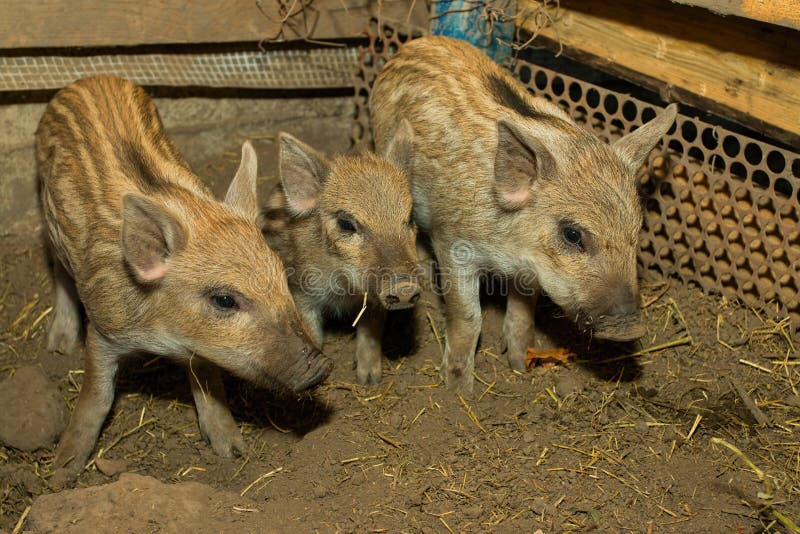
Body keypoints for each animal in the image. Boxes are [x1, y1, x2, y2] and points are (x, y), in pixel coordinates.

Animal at [36, 76, 332, 484]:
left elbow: (208, 381)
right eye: (224, 300)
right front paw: (61, 473)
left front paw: (232, 450)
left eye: (281, 276)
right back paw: (58, 345)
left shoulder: (199, 348)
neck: (161, 335)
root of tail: (88, 81)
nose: (321, 365)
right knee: (57, 266)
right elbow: (97, 396)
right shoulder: (103, 324)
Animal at [260, 125, 419, 385]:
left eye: (410, 217)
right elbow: (311, 331)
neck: (343, 287)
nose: (404, 287)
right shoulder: (301, 289)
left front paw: (369, 380)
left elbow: (370, 328)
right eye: (346, 223)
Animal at [370, 36, 677, 393]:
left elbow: (523, 310)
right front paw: (458, 391)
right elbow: (468, 318)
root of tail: (412, 45)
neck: (511, 251)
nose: (631, 329)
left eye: (637, 231)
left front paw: (518, 366)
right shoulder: (452, 243)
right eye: (573, 234)